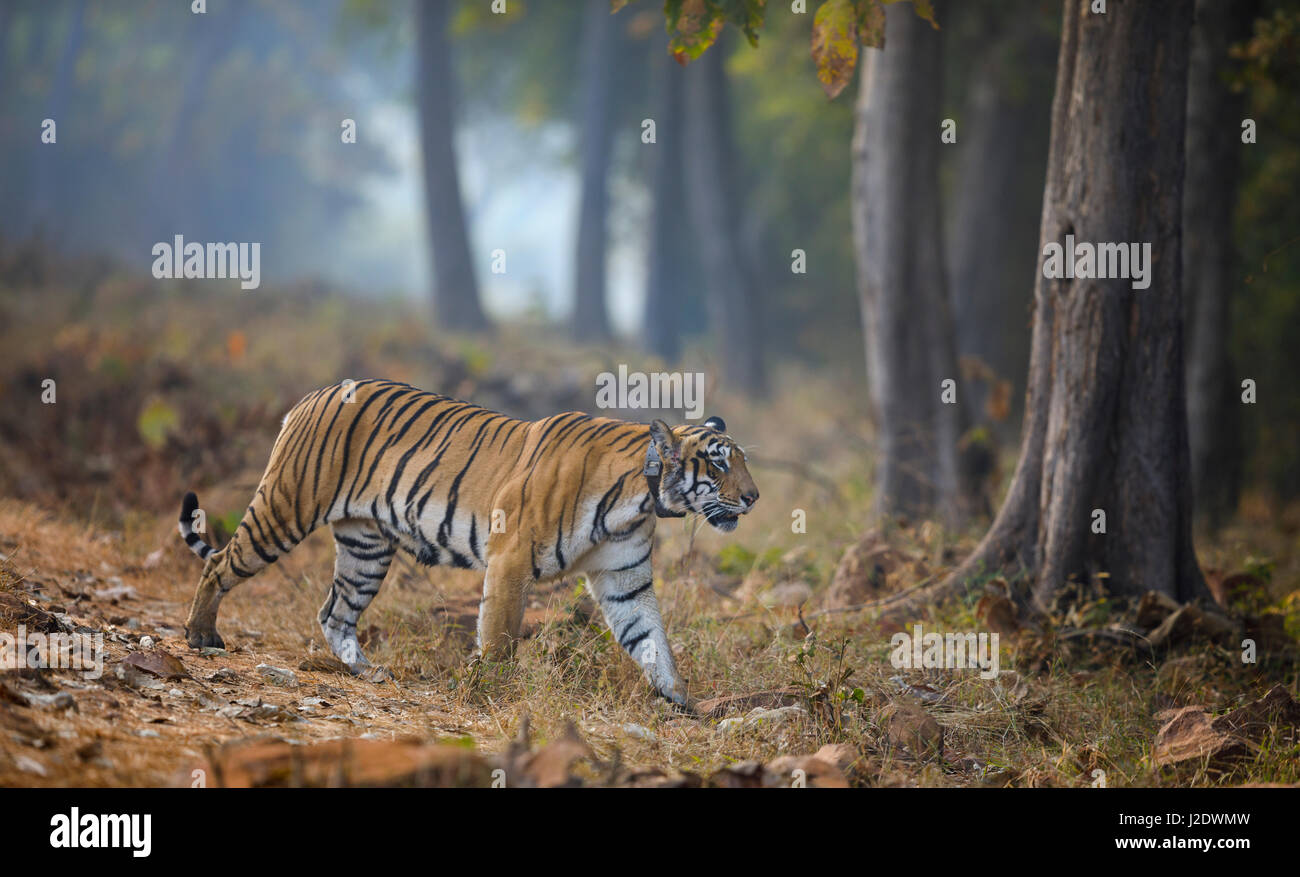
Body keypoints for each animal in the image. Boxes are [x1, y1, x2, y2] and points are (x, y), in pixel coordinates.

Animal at [179, 378, 759, 707]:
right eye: (718, 463)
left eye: (742, 460)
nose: (753, 497)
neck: (640, 497)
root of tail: (310, 396)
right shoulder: (511, 557)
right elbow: (499, 634)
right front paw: (494, 690)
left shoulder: (624, 578)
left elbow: (651, 638)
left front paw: (680, 697)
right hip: (286, 507)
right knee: (220, 564)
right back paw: (201, 635)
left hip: (366, 547)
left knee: (334, 612)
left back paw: (367, 671)